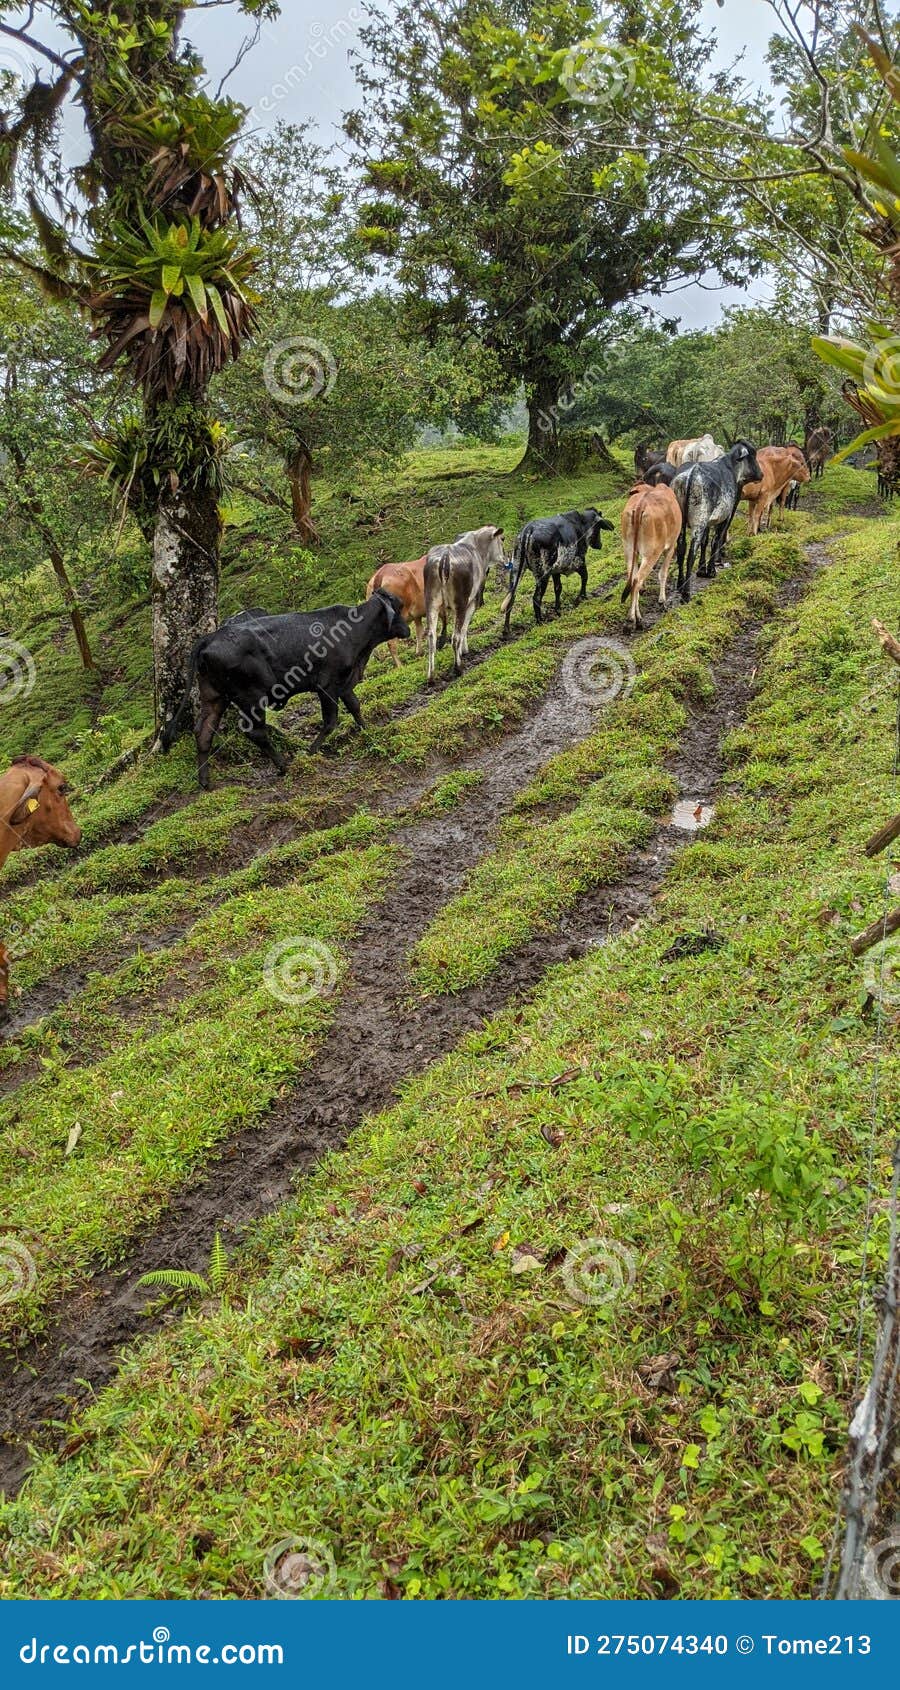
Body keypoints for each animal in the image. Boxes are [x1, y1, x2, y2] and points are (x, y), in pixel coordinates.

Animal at [161, 590, 410, 787]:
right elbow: (330, 721)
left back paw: (205, 782)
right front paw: (311, 751)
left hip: (214, 696)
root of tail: (209, 638)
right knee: (254, 732)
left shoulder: (344, 683)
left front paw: (367, 730)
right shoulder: (327, 685)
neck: (355, 635)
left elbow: (355, 706)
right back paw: (283, 766)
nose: (407, 629)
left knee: (204, 732)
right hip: (250, 697)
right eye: (398, 606)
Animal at [423, 526, 505, 682]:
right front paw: (464, 651)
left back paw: (431, 676)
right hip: (460, 603)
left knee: (431, 637)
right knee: (454, 637)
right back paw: (458, 668)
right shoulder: (472, 601)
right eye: (502, 539)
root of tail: (444, 557)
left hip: (431, 603)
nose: (505, 559)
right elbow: (464, 629)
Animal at [500, 507, 615, 636]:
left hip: (516, 569)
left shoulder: (555, 571)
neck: (581, 524)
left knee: (511, 598)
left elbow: (558, 588)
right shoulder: (579, 561)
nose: (599, 545)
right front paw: (582, 596)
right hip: (542, 574)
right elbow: (585, 577)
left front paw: (558, 610)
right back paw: (540, 622)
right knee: (536, 598)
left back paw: (507, 630)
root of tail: (528, 530)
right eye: (598, 528)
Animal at [620, 483, 683, 628]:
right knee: (637, 580)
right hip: (652, 553)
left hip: (629, 551)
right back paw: (632, 618)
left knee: (633, 580)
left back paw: (637, 616)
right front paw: (662, 600)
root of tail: (640, 505)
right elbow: (663, 573)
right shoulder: (671, 547)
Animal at [672, 441, 763, 601]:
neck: (730, 467)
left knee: (682, 549)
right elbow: (716, 541)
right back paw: (686, 593)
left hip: (683, 524)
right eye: (753, 454)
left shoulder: (709, 521)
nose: (761, 474)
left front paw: (702, 569)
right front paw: (711, 570)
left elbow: (705, 542)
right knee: (691, 554)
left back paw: (681, 584)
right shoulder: (724, 517)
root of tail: (691, 474)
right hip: (699, 523)